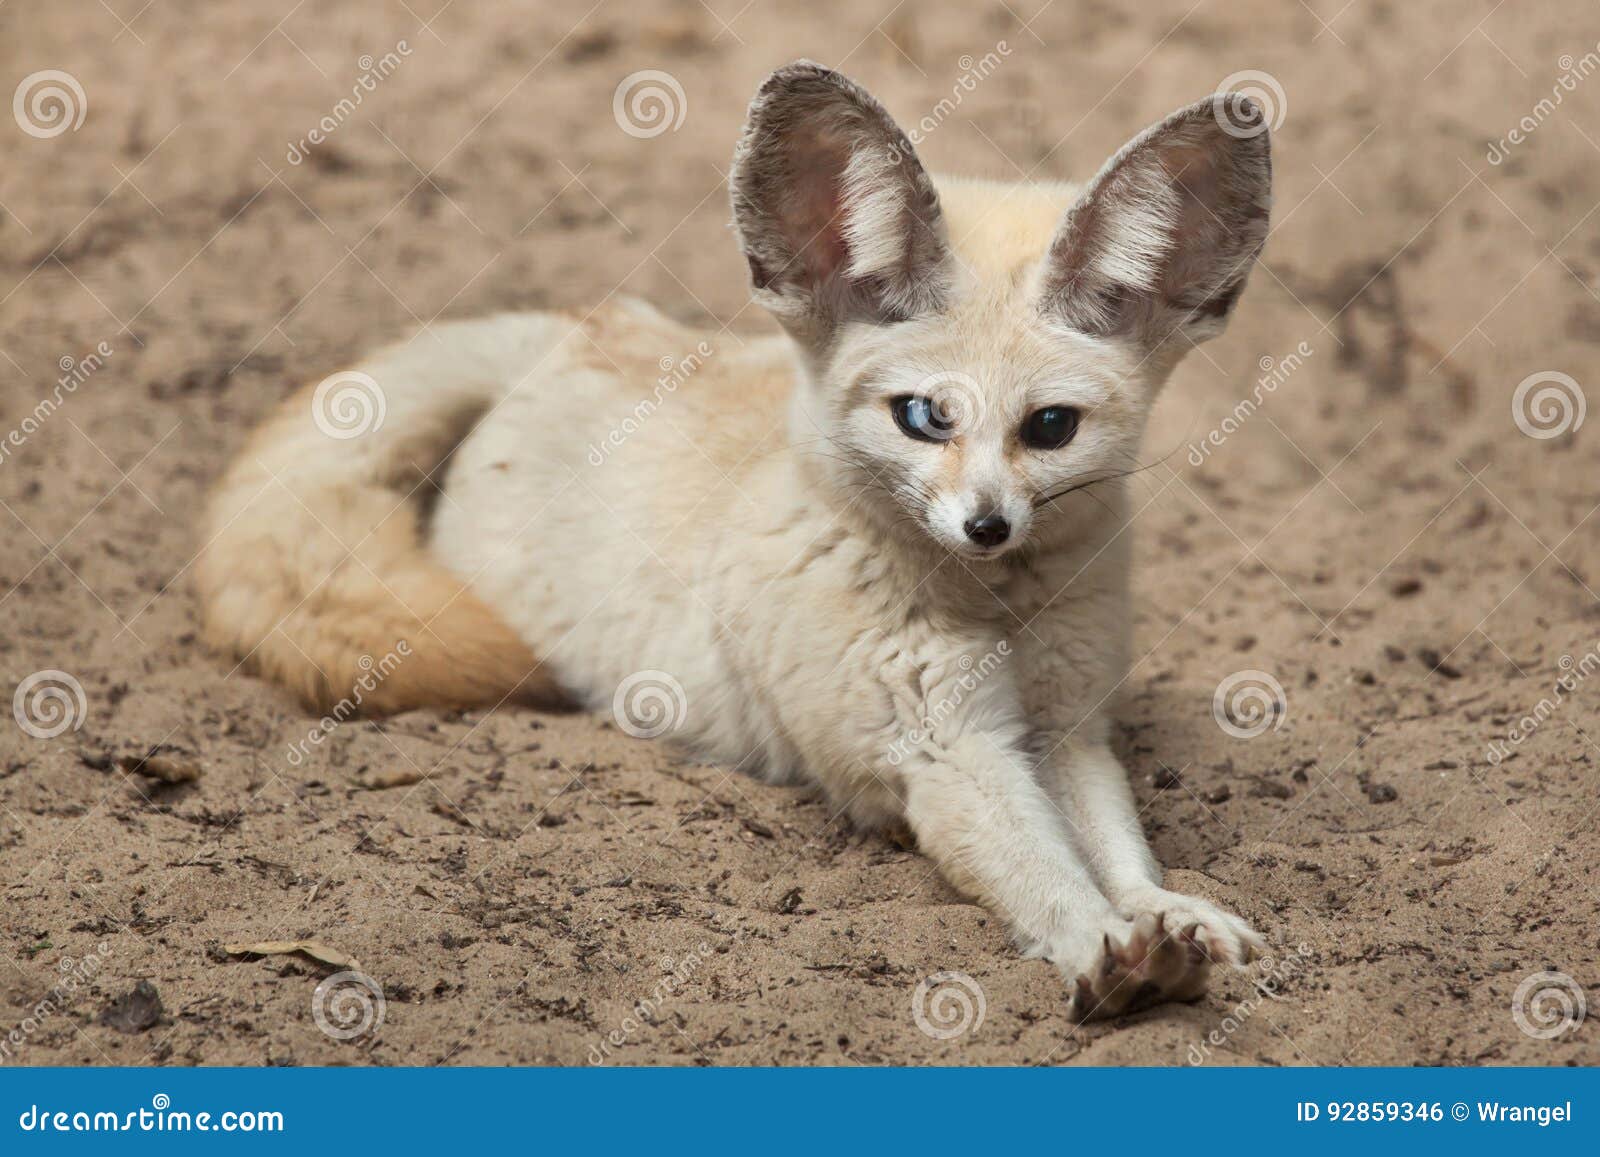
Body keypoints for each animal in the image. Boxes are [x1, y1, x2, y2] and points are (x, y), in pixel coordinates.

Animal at [198, 61, 1273, 1019]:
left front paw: (1165, 913)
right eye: (924, 417)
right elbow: (1044, 869)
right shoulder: (940, 750)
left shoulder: (1067, 726)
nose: (985, 525)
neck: (994, 607)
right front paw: (1102, 944)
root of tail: (578, 326)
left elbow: (1118, 847)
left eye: (1049, 427)